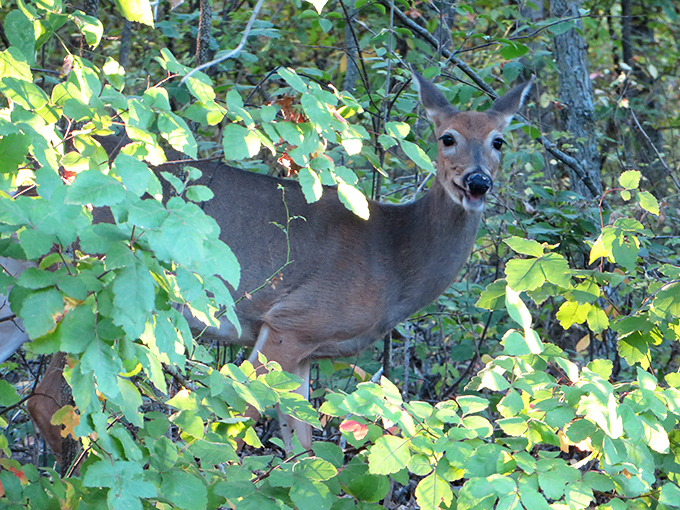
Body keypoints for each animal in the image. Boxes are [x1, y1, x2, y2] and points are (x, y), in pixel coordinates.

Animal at [2, 70, 533, 460]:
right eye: (447, 138)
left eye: (499, 141)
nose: (478, 182)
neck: (393, 258)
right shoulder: (290, 321)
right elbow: (224, 422)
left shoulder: (306, 350)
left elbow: (301, 448)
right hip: (79, 286)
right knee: (48, 400)